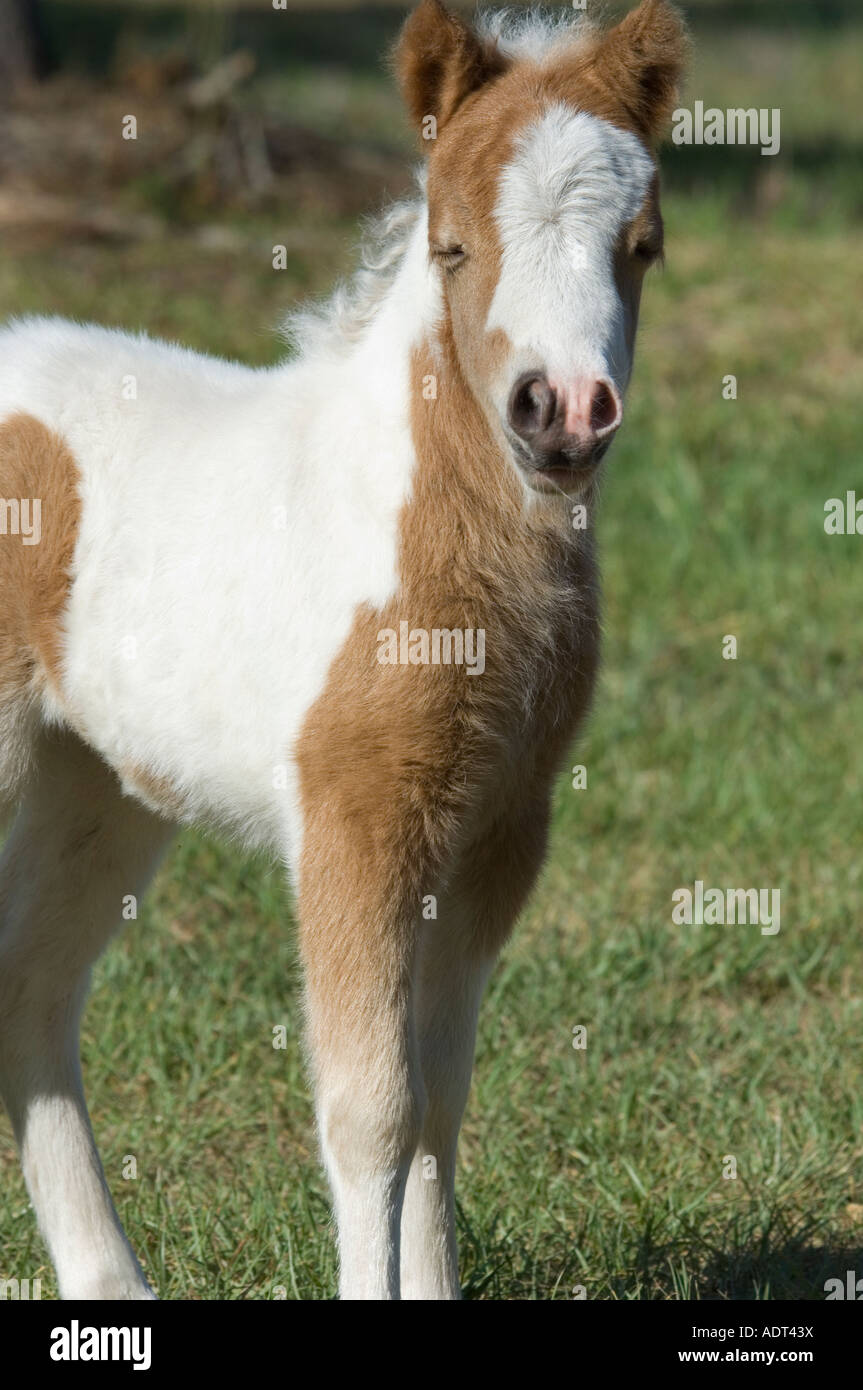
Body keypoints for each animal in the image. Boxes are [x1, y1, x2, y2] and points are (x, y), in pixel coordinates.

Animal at [0, 0, 688, 1300]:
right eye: (451, 245)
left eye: (644, 245)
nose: (563, 416)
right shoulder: (354, 821)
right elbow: (370, 1111)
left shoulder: (494, 836)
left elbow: (439, 1105)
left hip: (90, 783)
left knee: (33, 991)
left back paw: (113, 1286)